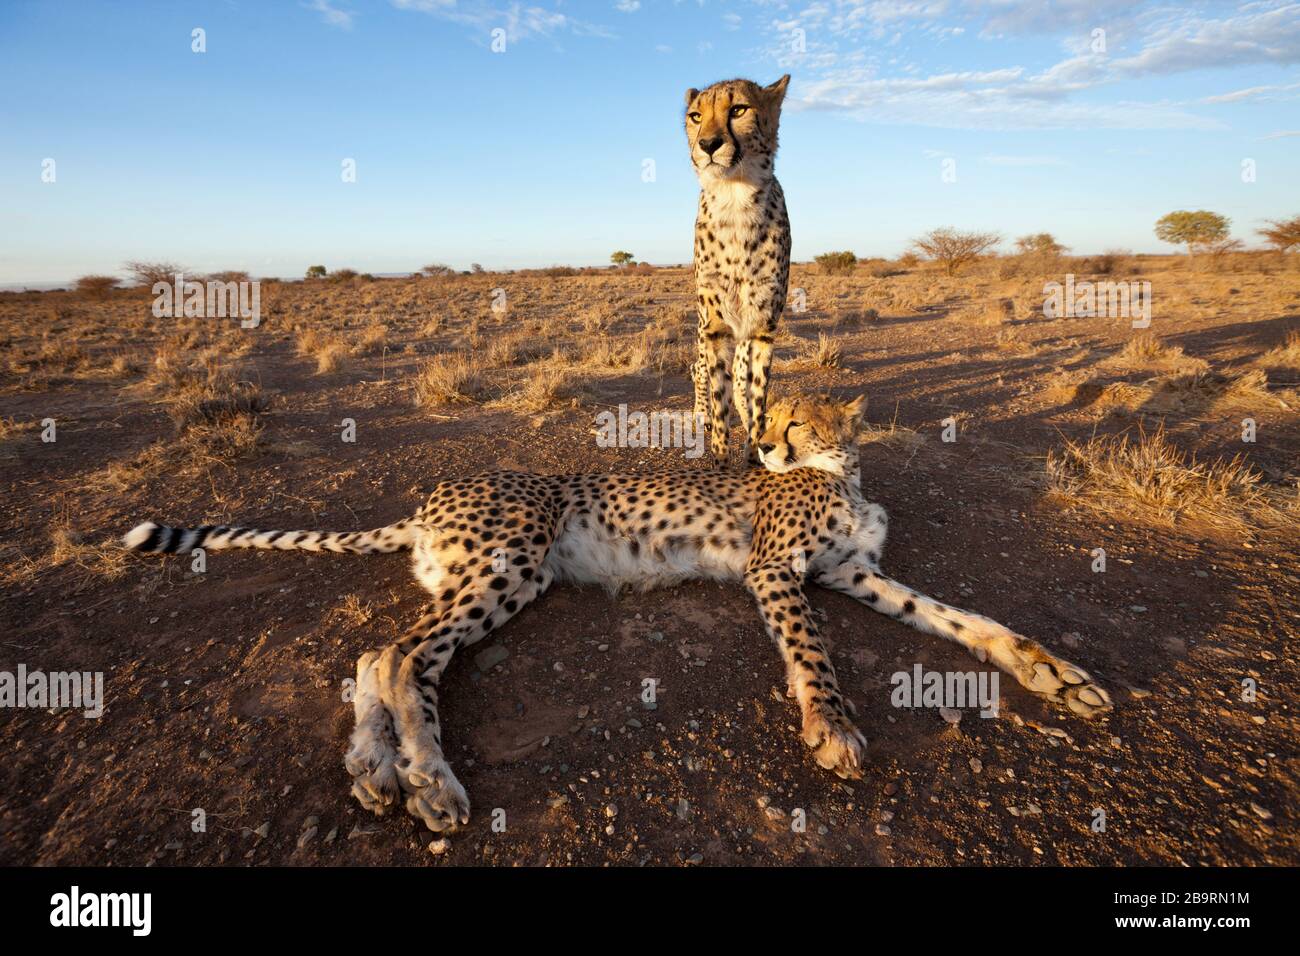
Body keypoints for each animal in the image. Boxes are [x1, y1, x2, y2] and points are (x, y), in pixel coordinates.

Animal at [122, 393, 1111, 834]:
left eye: (798, 419)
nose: (763, 442)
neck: (842, 472)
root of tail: (438, 491)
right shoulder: (777, 574)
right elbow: (816, 655)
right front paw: (830, 729)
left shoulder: (859, 576)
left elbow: (969, 621)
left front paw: (1058, 676)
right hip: (513, 562)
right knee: (404, 655)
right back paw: (430, 781)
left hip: (492, 576)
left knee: (378, 652)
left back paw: (376, 770)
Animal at [685, 74, 794, 469]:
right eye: (696, 116)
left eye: (738, 110)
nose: (708, 144)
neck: (736, 198)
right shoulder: (715, 328)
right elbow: (719, 401)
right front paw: (719, 462)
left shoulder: (762, 329)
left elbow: (756, 395)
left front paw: (753, 456)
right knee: (698, 369)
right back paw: (699, 414)